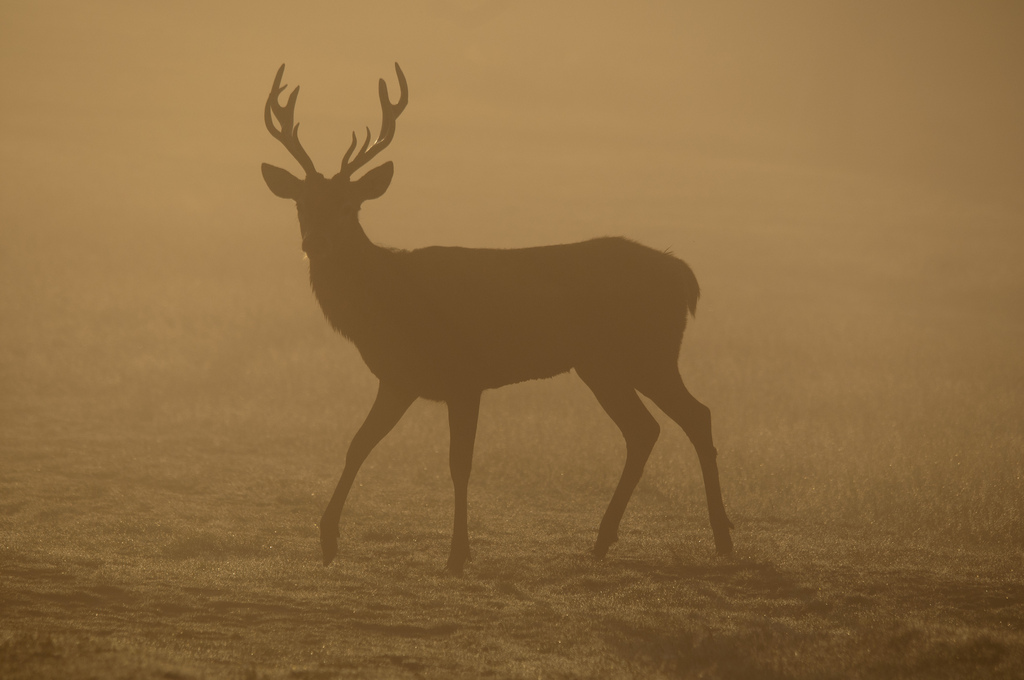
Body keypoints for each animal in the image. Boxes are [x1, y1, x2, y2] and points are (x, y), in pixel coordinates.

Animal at [260, 63, 733, 573]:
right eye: (302, 204)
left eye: (350, 207)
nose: (315, 243)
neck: (394, 304)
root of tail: (683, 275)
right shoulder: (399, 380)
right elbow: (358, 444)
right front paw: (328, 540)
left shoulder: (464, 376)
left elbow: (458, 464)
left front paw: (457, 553)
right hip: (602, 364)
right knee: (646, 429)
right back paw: (605, 539)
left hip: (650, 352)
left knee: (695, 415)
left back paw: (722, 536)